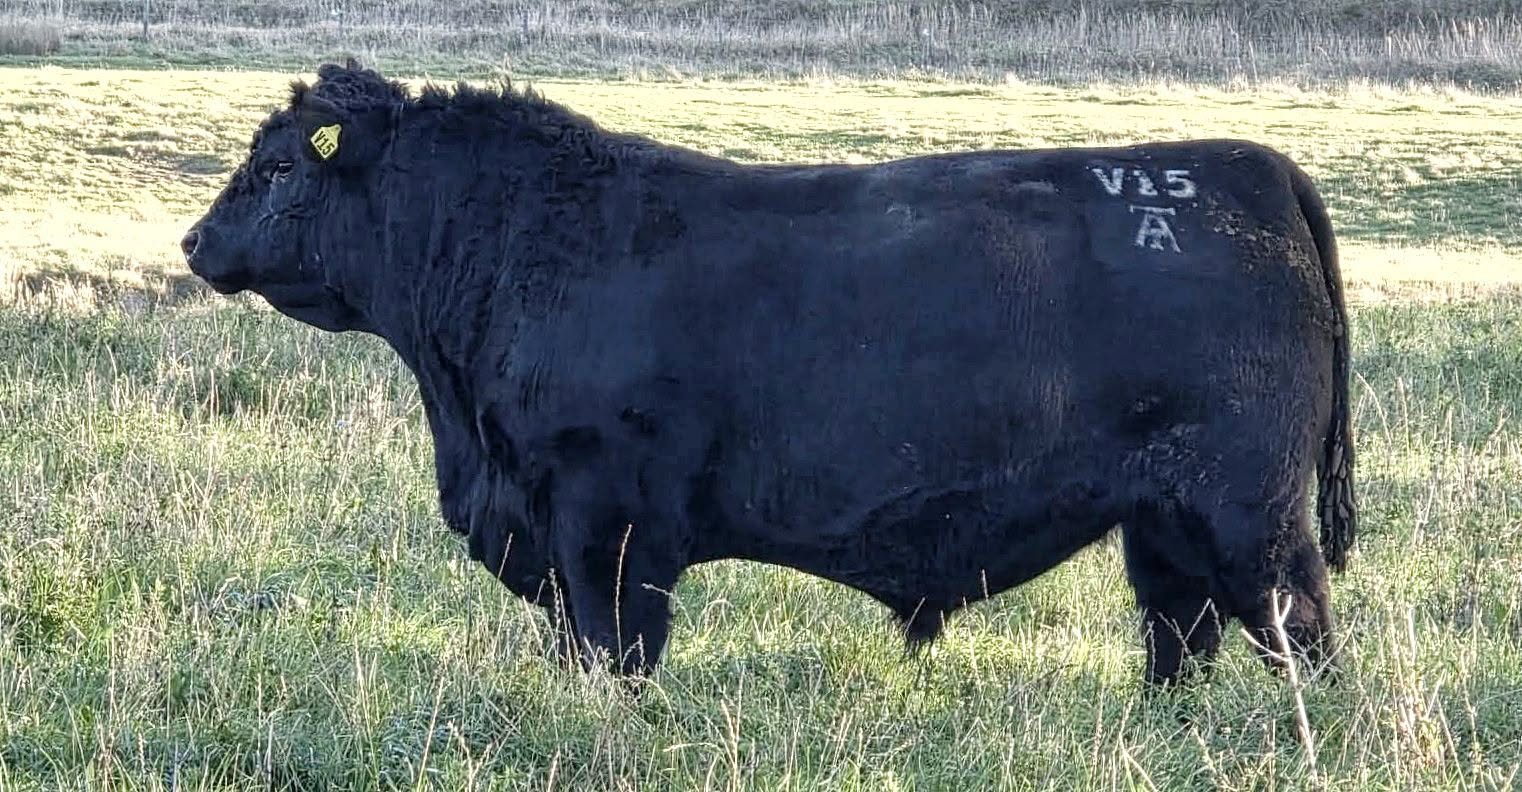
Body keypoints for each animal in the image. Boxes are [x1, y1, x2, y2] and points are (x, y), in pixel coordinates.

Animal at [182, 62, 1357, 685]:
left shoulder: (602, 522)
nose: (194, 243)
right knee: (1179, 638)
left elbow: (613, 647)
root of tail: (1243, 165)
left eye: (275, 168)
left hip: (1249, 515)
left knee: (1296, 632)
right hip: (1161, 524)